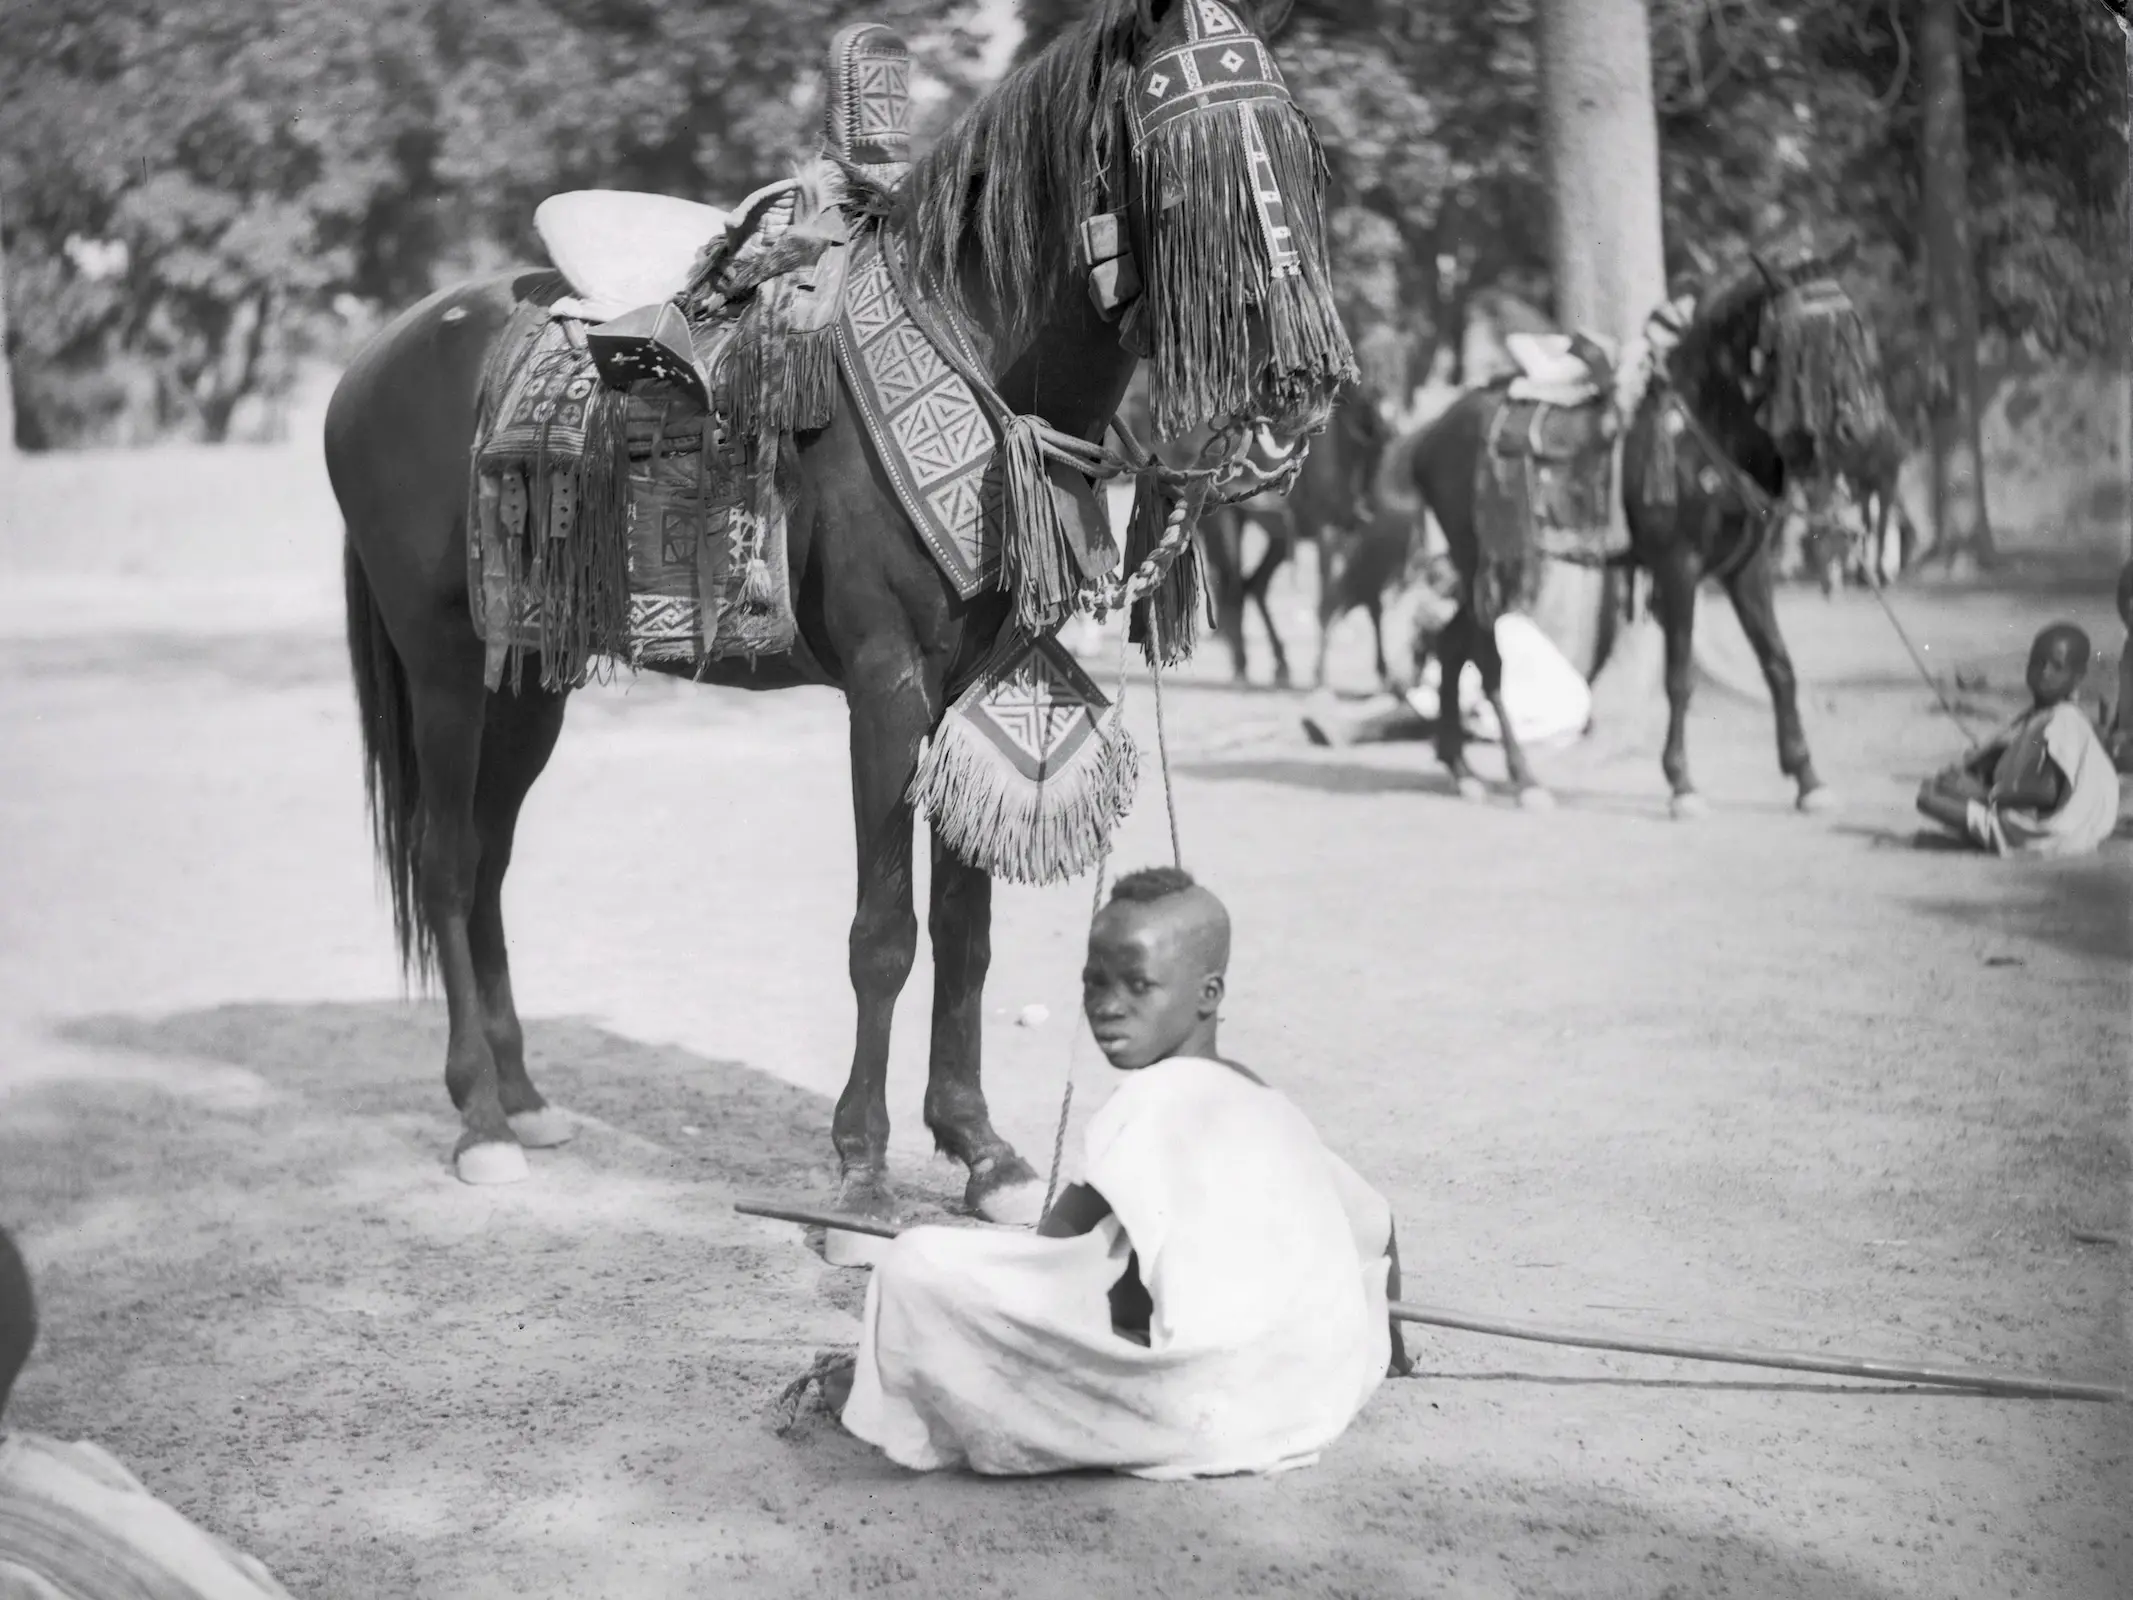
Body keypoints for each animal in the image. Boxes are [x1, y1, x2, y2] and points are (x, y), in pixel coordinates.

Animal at [322, 0, 1349, 1227]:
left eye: (1298, 153)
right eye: (1183, 166)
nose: (1295, 395)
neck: (980, 356)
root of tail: (373, 360)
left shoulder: (973, 686)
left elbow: (965, 928)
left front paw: (983, 1152)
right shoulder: (885, 683)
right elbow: (885, 933)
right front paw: (860, 1173)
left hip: (525, 677)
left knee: (487, 859)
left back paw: (523, 1098)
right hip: (439, 661)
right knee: (443, 857)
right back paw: (479, 1116)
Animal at [1198, 389, 1404, 687]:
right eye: (1369, 388)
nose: (1388, 422)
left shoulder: (1357, 534)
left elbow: (1371, 598)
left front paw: (1384, 670)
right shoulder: (1326, 532)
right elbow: (1329, 600)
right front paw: (1320, 674)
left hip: (1279, 540)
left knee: (1255, 585)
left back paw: (1280, 663)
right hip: (1226, 523)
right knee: (1234, 584)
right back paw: (1241, 664)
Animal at [1410, 245, 1888, 817]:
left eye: (1854, 332)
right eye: (1804, 345)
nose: (1860, 430)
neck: (1705, 432)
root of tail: (1431, 434)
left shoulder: (1746, 569)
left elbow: (1779, 665)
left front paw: (1807, 778)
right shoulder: (1678, 567)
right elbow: (1679, 677)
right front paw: (1682, 784)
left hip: (1479, 570)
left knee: (1450, 644)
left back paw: (1461, 769)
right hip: (1488, 562)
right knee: (1486, 659)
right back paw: (1524, 779)